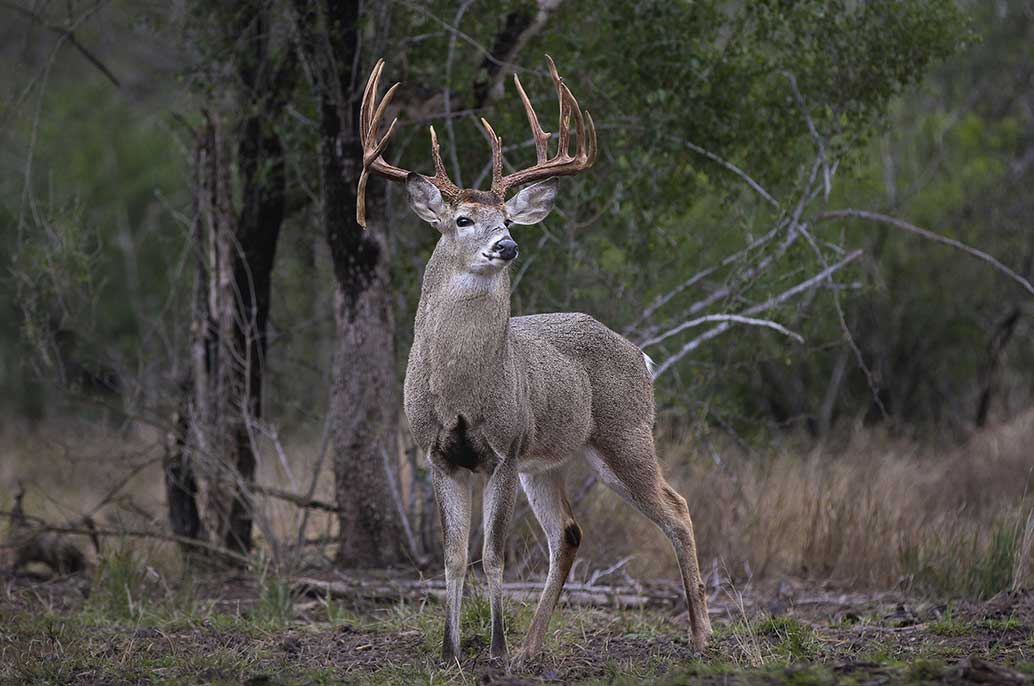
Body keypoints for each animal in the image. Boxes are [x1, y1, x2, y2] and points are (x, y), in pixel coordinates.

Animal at [355, 56, 713, 664]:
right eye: (462, 221)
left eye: (506, 218)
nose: (507, 245)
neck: (460, 392)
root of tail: (641, 356)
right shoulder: (437, 454)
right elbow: (453, 556)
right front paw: (451, 652)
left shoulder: (502, 449)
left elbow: (493, 554)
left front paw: (494, 650)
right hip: (547, 462)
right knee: (568, 533)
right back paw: (532, 646)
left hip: (623, 434)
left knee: (678, 508)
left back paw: (701, 635)